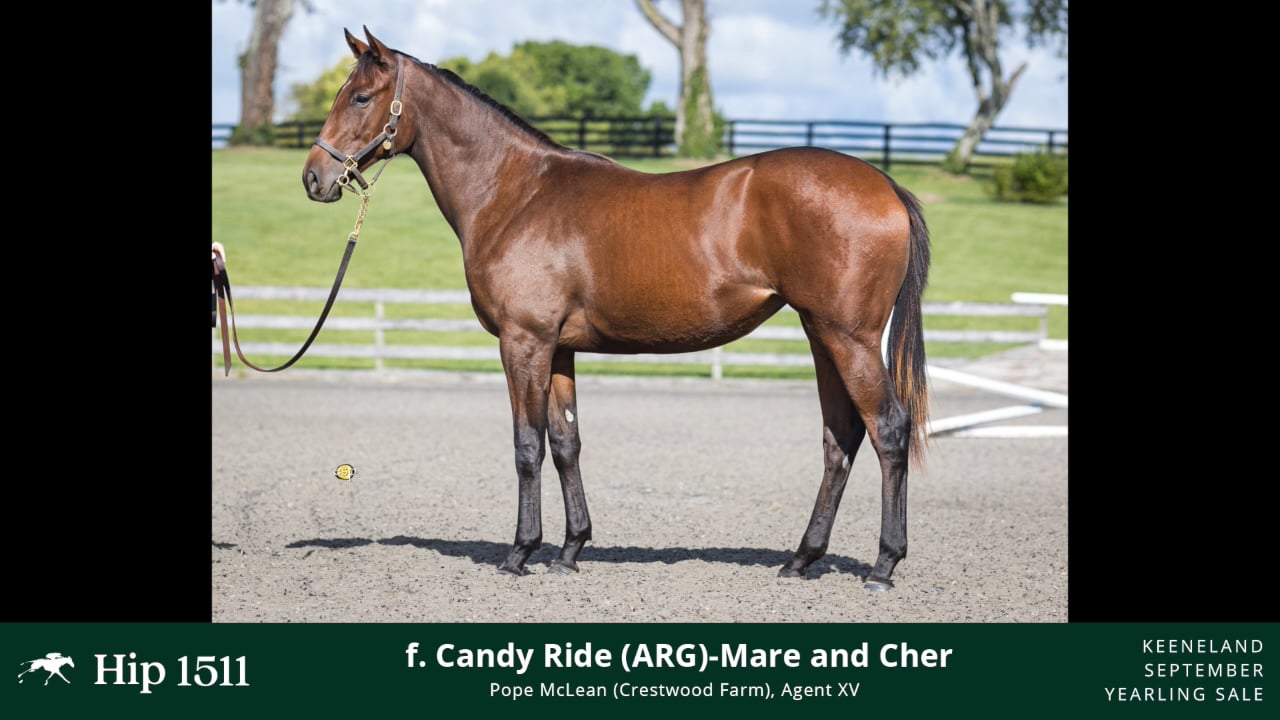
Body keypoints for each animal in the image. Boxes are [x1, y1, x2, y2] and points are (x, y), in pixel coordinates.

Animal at [302, 27, 931, 591]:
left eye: (361, 97)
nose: (315, 177)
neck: (516, 193)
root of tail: (884, 186)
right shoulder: (558, 350)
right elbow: (566, 443)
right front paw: (569, 551)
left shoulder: (524, 341)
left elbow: (527, 446)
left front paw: (519, 553)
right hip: (822, 335)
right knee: (840, 439)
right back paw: (801, 560)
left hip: (848, 337)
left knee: (888, 429)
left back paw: (883, 566)